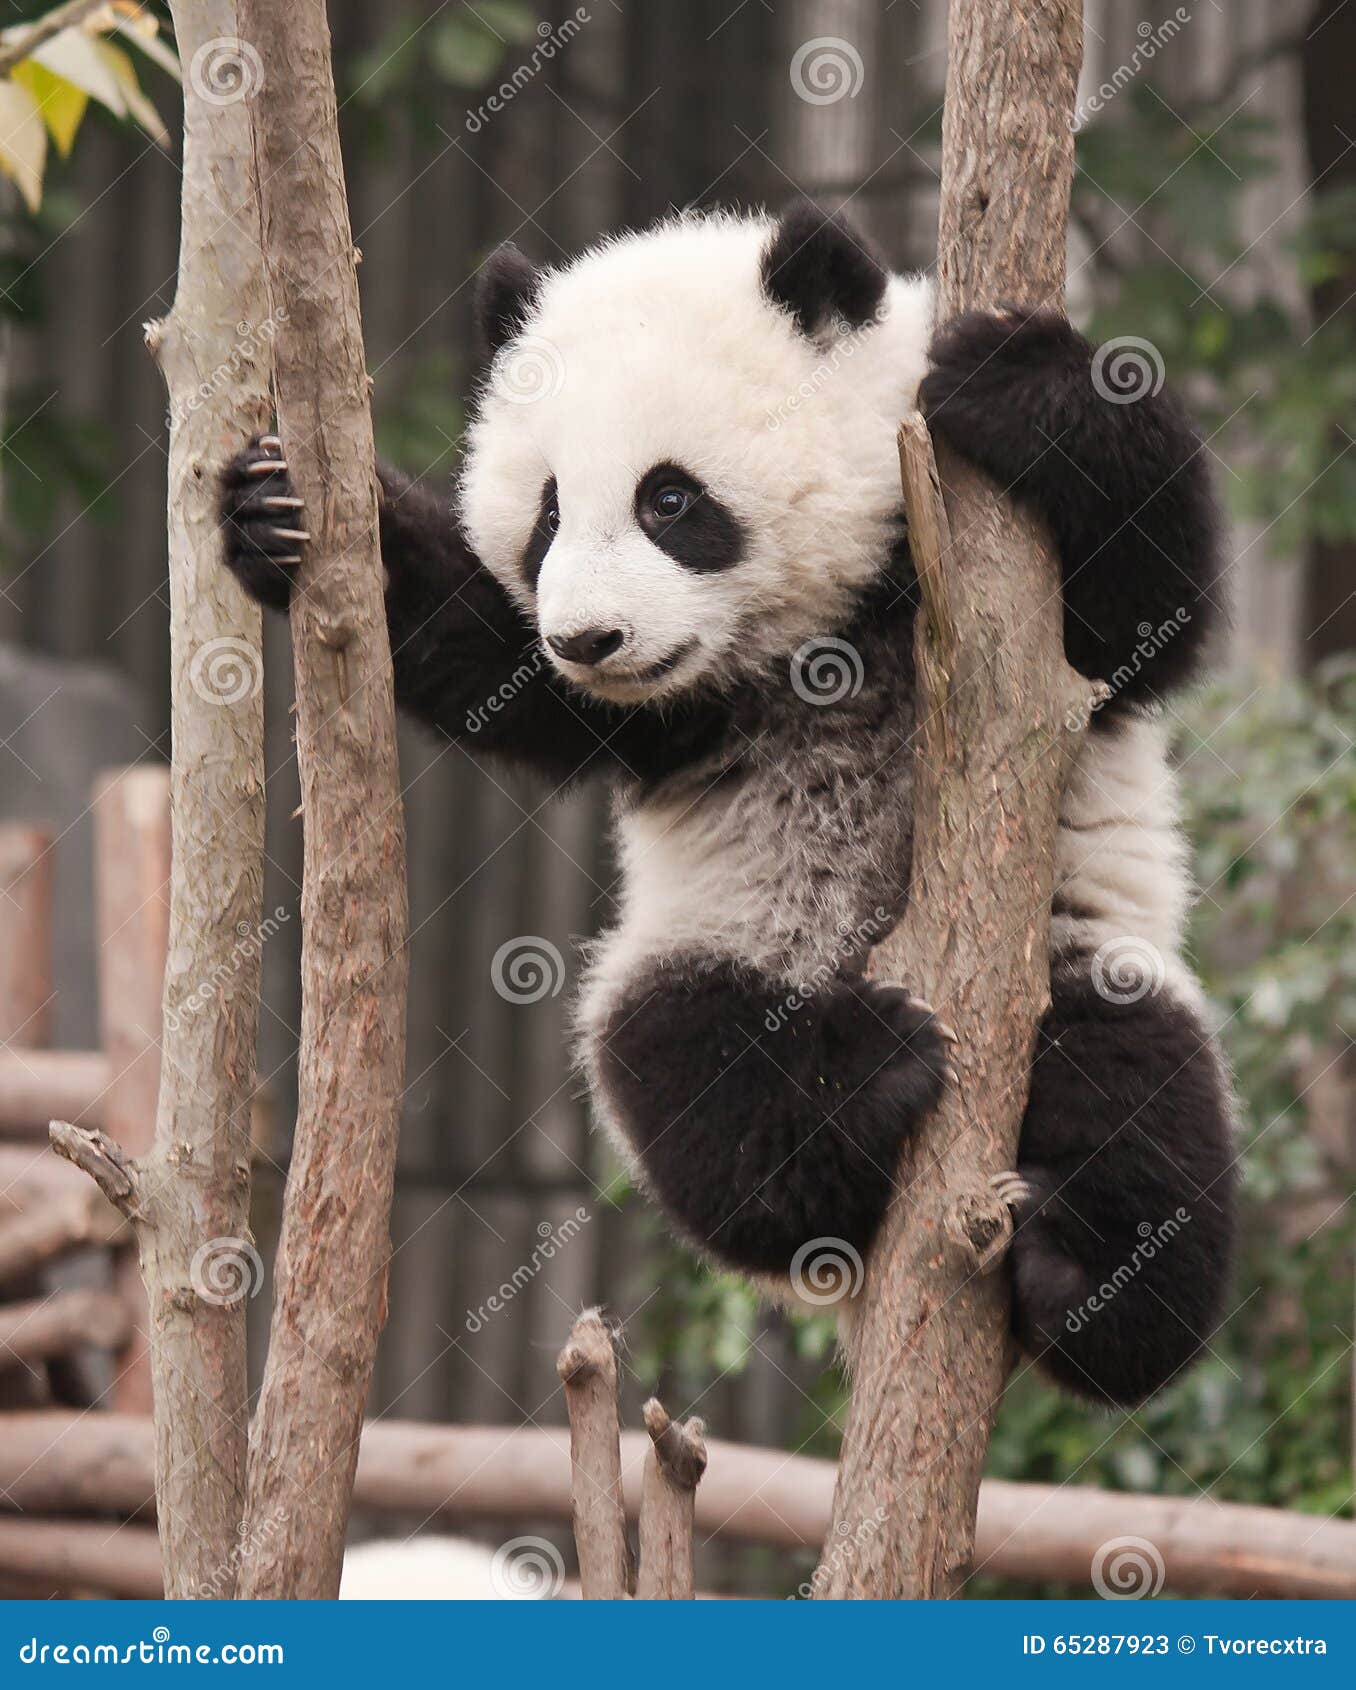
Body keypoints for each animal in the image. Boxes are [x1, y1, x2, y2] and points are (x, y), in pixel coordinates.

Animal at [220, 202, 1237, 1409]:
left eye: (670, 500)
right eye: (548, 516)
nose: (589, 639)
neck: (814, 636)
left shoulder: (995, 597)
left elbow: (1150, 604)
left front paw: (1021, 381)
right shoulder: (662, 715)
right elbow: (498, 667)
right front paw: (276, 515)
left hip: (1083, 960)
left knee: (1141, 1114)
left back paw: (1084, 1280)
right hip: (710, 955)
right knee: (692, 1082)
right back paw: (861, 1084)